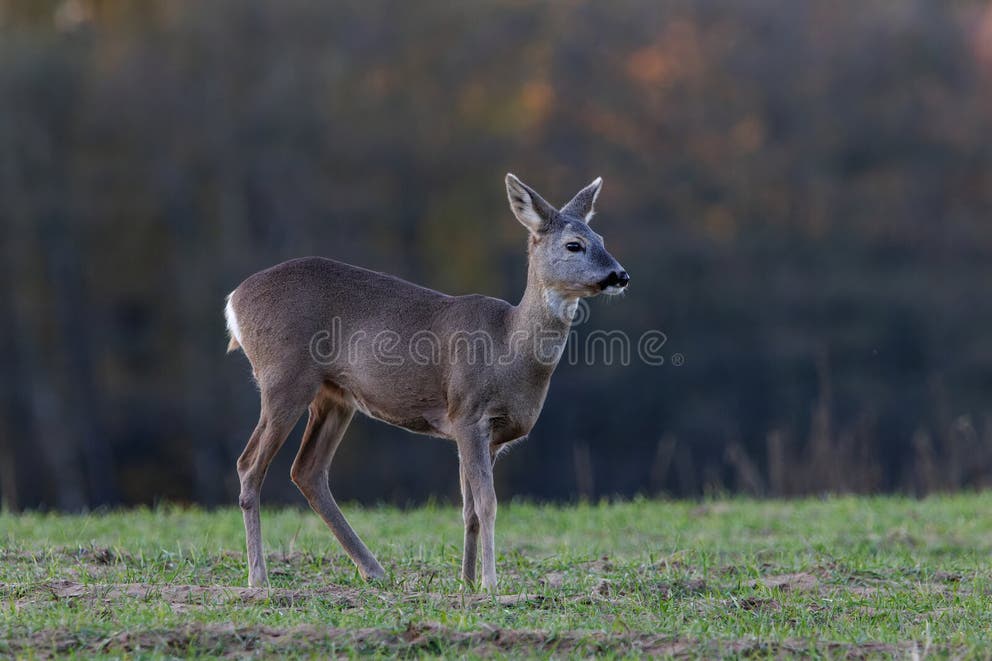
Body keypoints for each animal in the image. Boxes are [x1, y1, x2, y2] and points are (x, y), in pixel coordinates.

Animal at [224, 173, 629, 591]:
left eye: (601, 239)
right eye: (574, 244)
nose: (620, 275)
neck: (509, 349)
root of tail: (234, 301)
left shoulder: (489, 436)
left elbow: (469, 508)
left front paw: (467, 582)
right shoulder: (468, 412)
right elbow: (487, 504)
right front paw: (490, 584)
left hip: (334, 396)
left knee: (306, 470)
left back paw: (373, 569)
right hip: (283, 378)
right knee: (249, 465)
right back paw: (259, 578)